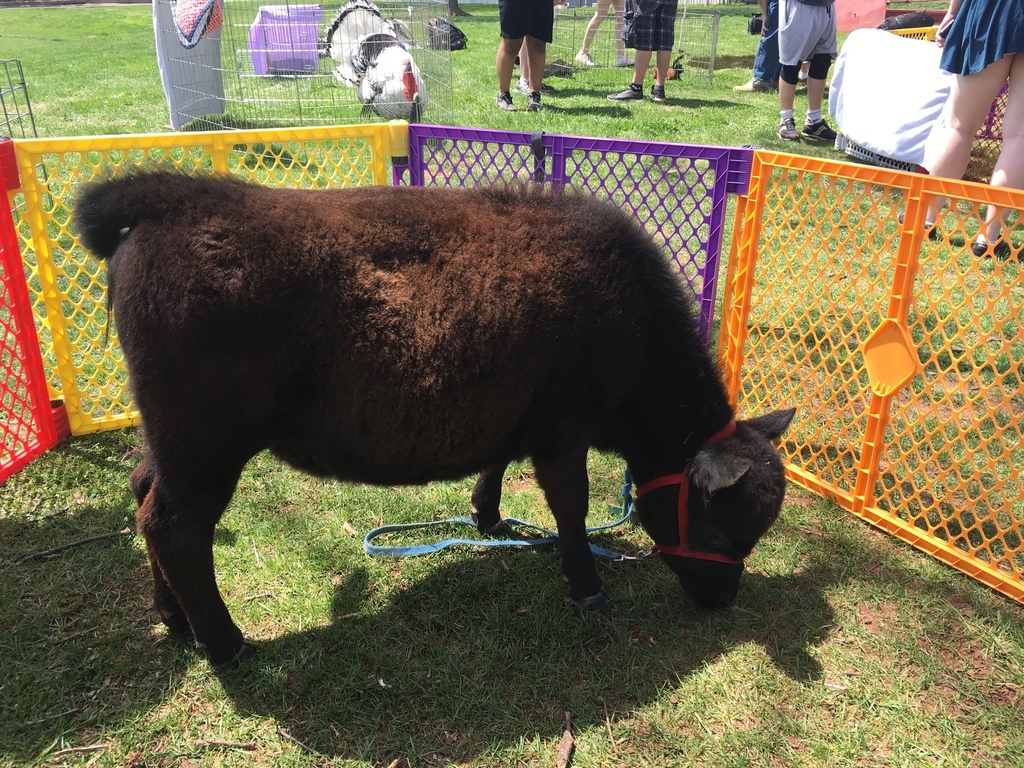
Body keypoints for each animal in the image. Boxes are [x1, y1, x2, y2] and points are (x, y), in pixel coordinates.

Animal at [74, 173, 795, 670]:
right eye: (721, 530)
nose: (722, 602)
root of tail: (169, 200)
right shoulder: (563, 425)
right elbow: (570, 504)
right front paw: (585, 584)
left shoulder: (514, 410)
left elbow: (497, 461)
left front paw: (487, 517)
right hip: (203, 443)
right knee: (174, 529)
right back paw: (225, 644)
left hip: (171, 437)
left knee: (143, 492)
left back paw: (171, 615)